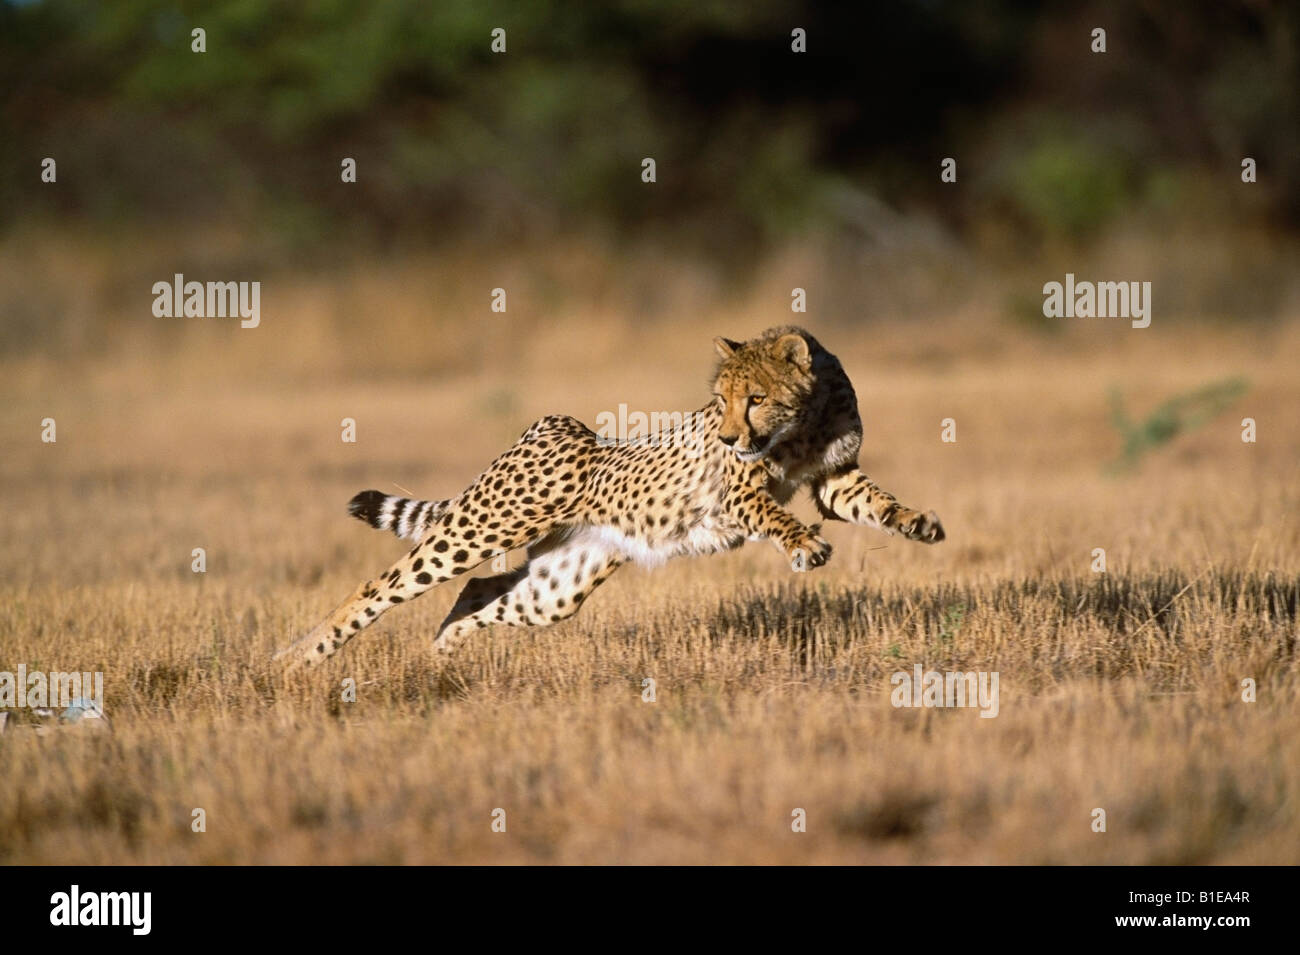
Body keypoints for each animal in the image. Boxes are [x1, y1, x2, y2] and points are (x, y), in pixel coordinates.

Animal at [274, 325, 945, 666]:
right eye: (722, 400)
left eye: (755, 398)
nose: (730, 436)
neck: (803, 421)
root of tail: (554, 428)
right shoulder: (735, 490)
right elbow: (771, 511)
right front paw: (803, 543)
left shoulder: (837, 476)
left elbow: (875, 502)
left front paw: (917, 522)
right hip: (480, 528)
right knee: (379, 587)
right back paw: (299, 659)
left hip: (559, 586)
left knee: (479, 593)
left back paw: (440, 654)